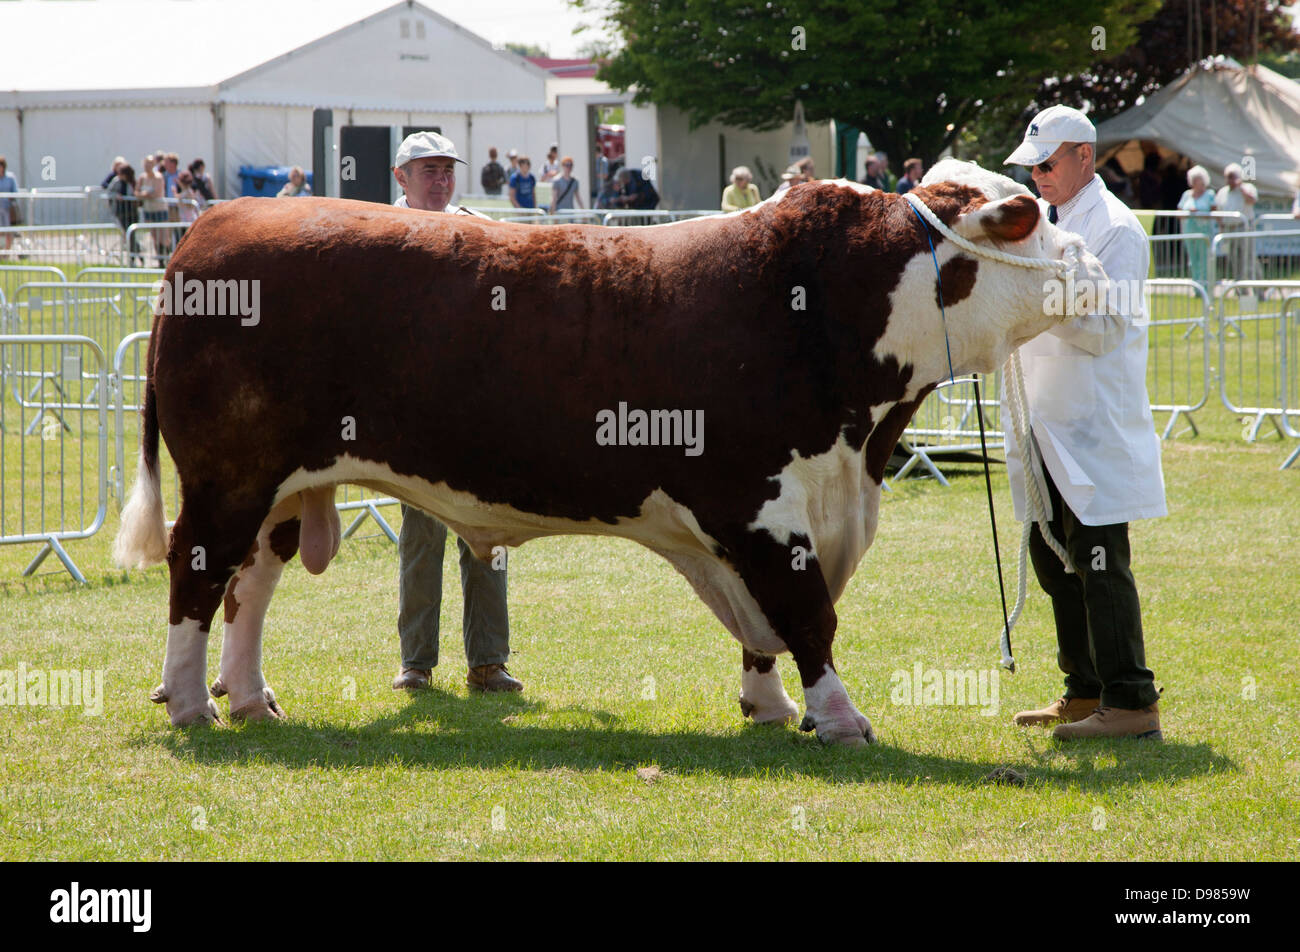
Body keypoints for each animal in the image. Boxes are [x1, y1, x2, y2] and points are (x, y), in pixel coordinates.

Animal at [114, 159, 1108, 746]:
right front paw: (838, 718)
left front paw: (769, 706)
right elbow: (806, 614)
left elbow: (765, 625)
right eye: (1025, 215)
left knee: (250, 585)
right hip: (227, 479)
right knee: (195, 575)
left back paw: (249, 697)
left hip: (282, 490)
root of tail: (213, 225)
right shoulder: (759, 503)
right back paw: (194, 703)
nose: (1100, 271)